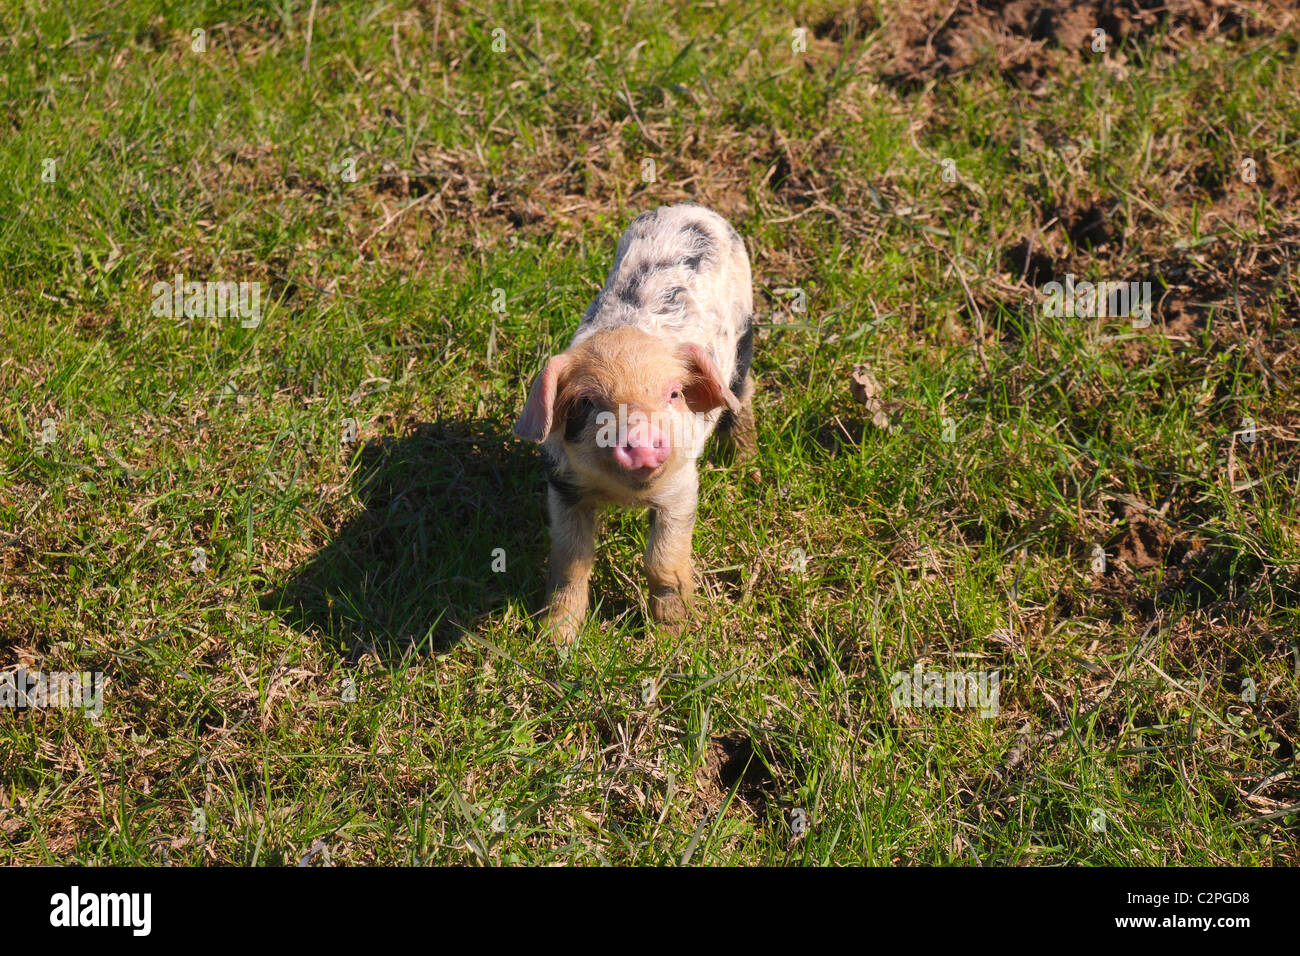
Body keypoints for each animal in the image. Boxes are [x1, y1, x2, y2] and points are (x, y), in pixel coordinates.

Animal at [513, 204, 755, 642]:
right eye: (587, 402)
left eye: (673, 394)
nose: (641, 435)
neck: (622, 495)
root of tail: (691, 208)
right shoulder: (563, 486)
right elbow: (570, 562)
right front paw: (556, 640)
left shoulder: (681, 486)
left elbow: (663, 561)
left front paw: (674, 638)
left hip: (745, 335)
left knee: (743, 397)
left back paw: (746, 466)